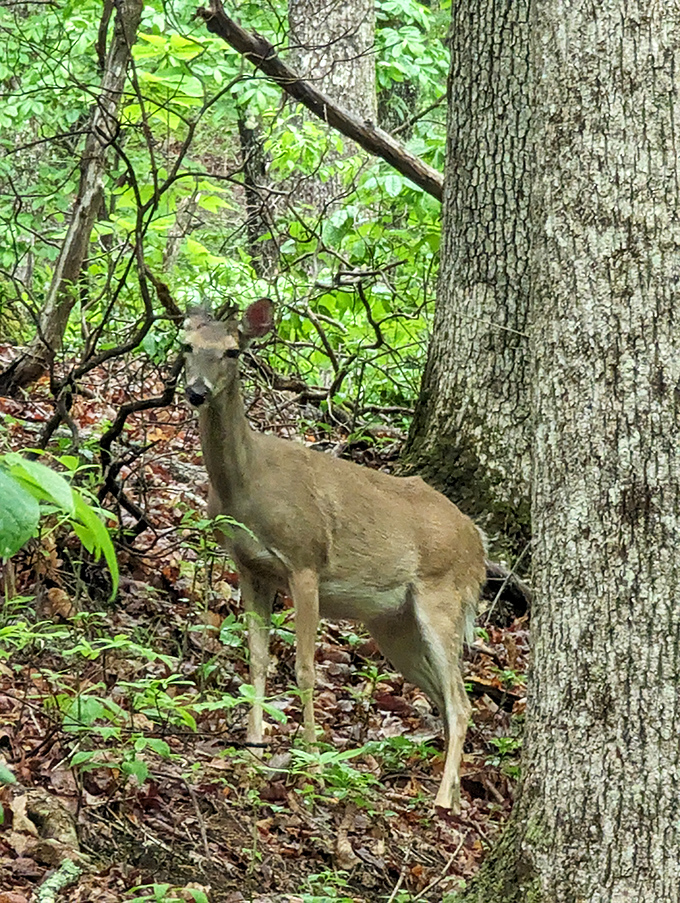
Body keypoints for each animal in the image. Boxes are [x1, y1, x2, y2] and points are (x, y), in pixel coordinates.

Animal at [183, 298, 486, 811]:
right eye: (186, 345)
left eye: (232, 351)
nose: (196, 392)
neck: (249, 485)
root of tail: (479, 542)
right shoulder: (250, 567)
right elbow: (256, 660)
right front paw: (253, 746)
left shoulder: (305, 561)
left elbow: (305, 669)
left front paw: (311, 761)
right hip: (393, 623)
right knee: (446, 700)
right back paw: (456, 798)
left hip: (442, 595)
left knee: (462, 702)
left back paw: (442, 801)